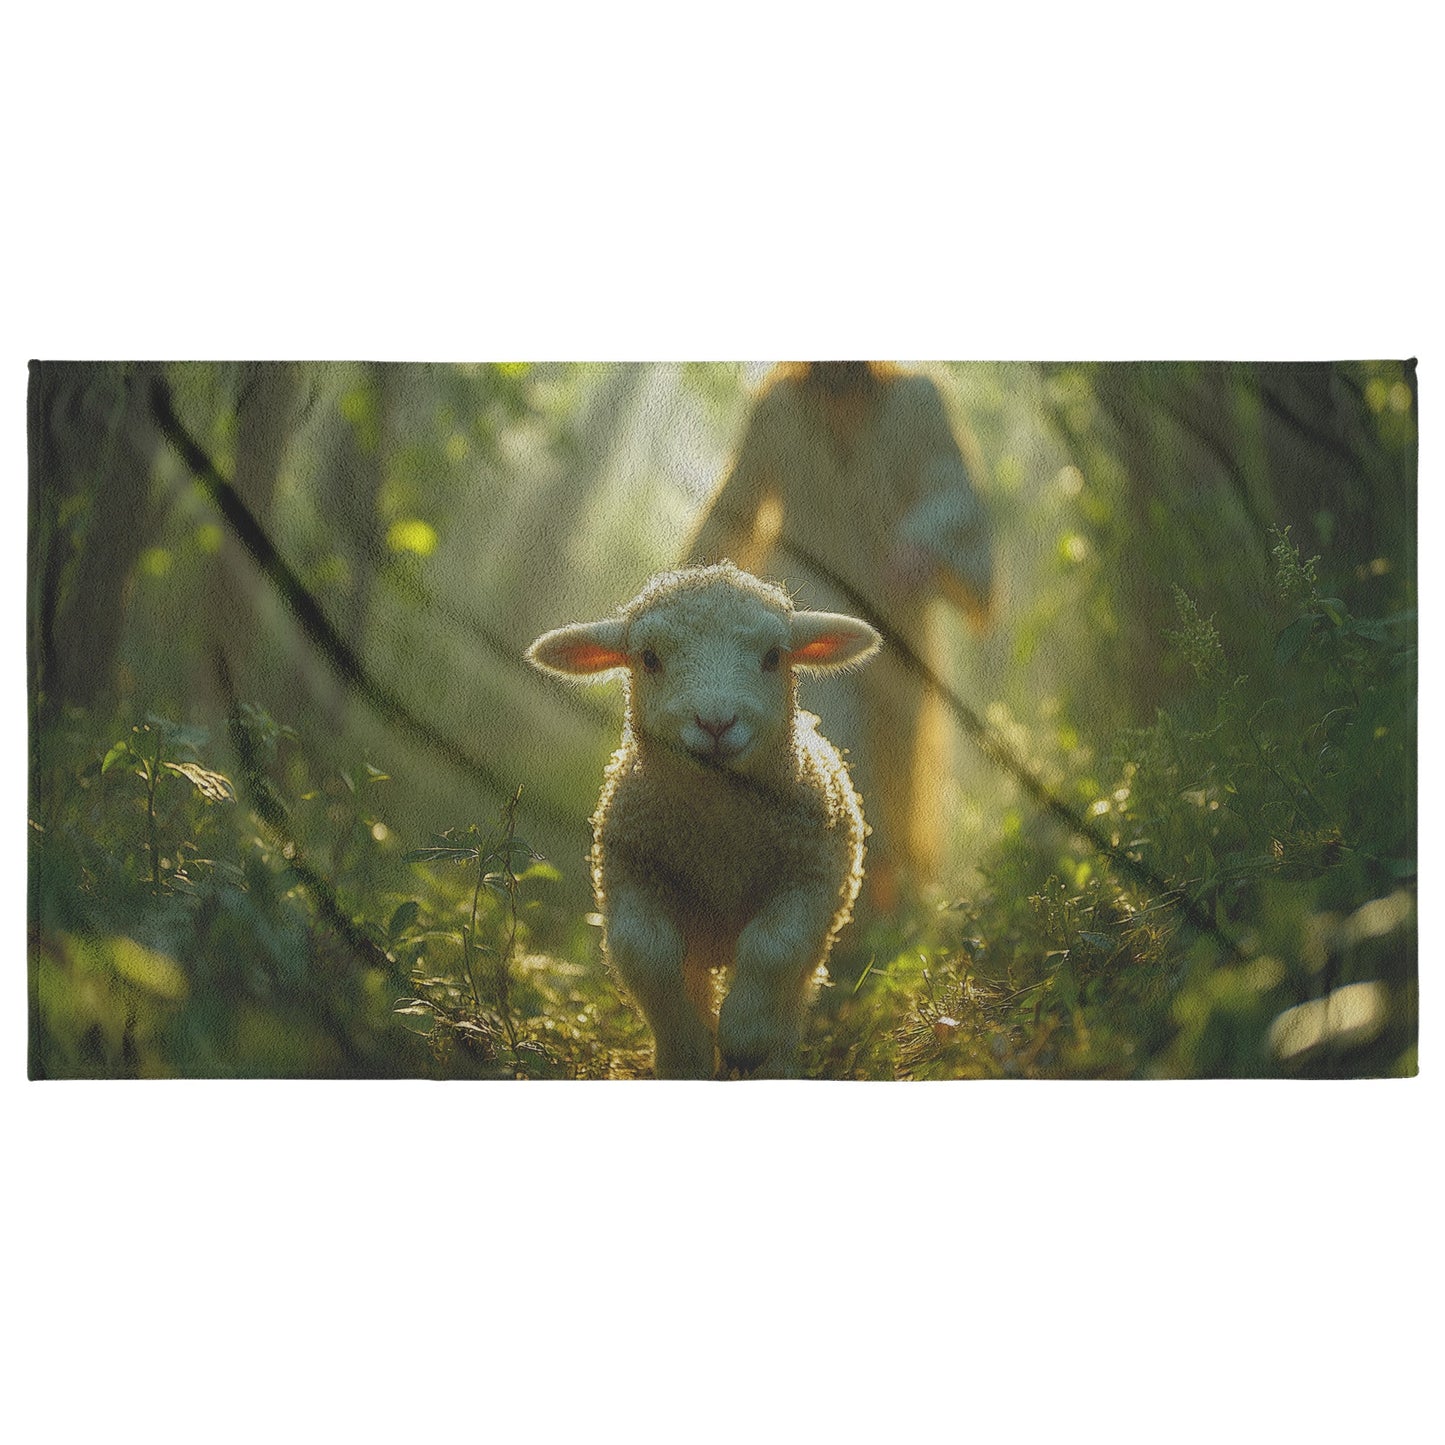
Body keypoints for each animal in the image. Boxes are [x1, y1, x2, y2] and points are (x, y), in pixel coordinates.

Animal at [526, 562, 881, 1078]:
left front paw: (745, 1036)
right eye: (649, 658)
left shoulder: (813, 877)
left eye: (773, 657)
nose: (716, 723)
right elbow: (645, 954)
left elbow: (773, 947)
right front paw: (687, 1053)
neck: (718, 835)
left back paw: (774, 1061)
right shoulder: (630, 873)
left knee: (793, 992)